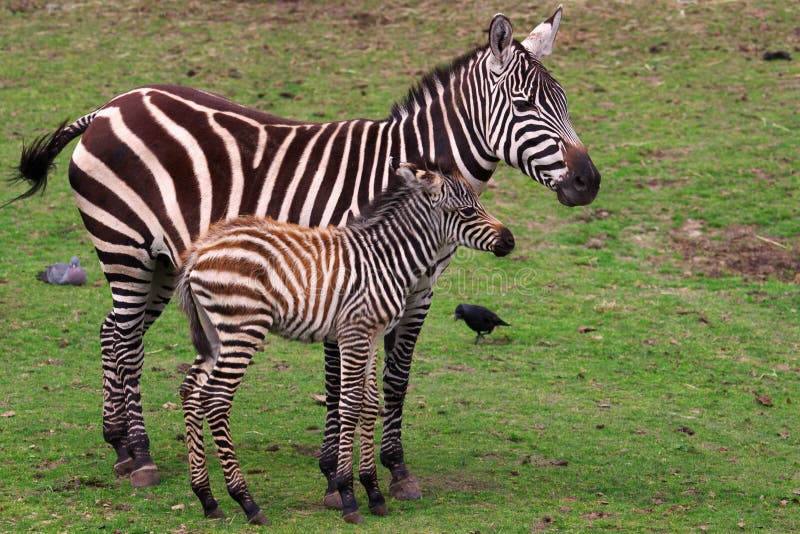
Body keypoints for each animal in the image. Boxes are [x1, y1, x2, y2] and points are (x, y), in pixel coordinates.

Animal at [176, 162, 515, 524]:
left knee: (191, 391)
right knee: (216, 399)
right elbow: (350, 403)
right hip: (243, 327)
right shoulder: (355, 332)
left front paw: (373, 491)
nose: (510, 240)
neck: (387, 259)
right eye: (467, 211)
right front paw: (347, 495)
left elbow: (368, 402)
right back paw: (247, 502)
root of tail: (199, 251)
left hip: (215, 333)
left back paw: (207, 498)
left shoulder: (372, 334)